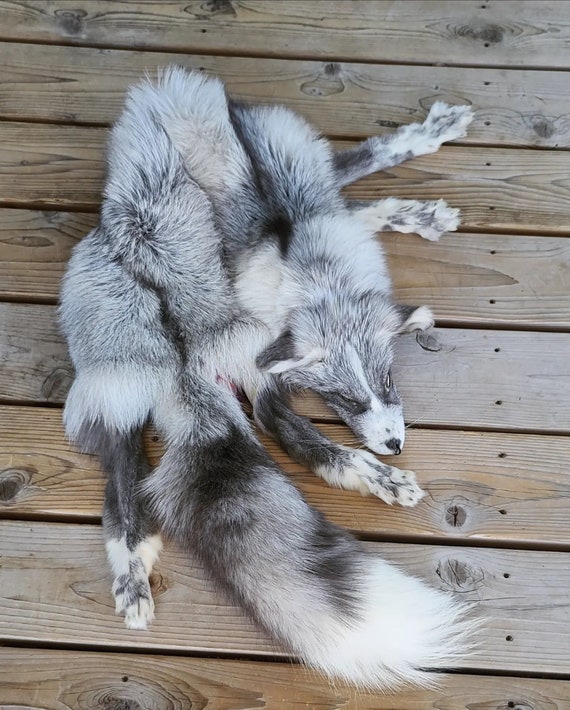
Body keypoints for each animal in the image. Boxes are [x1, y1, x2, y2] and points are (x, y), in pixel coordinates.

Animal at [59, 67, 475, 691]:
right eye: (343, 398)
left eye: (388, 379)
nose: (395, 444)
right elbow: (366, 167)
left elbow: (364, 186)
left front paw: (420, 200)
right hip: (134, 373)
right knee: (126, 476)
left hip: (166, 369)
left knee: (270, 432)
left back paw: (368, 474)